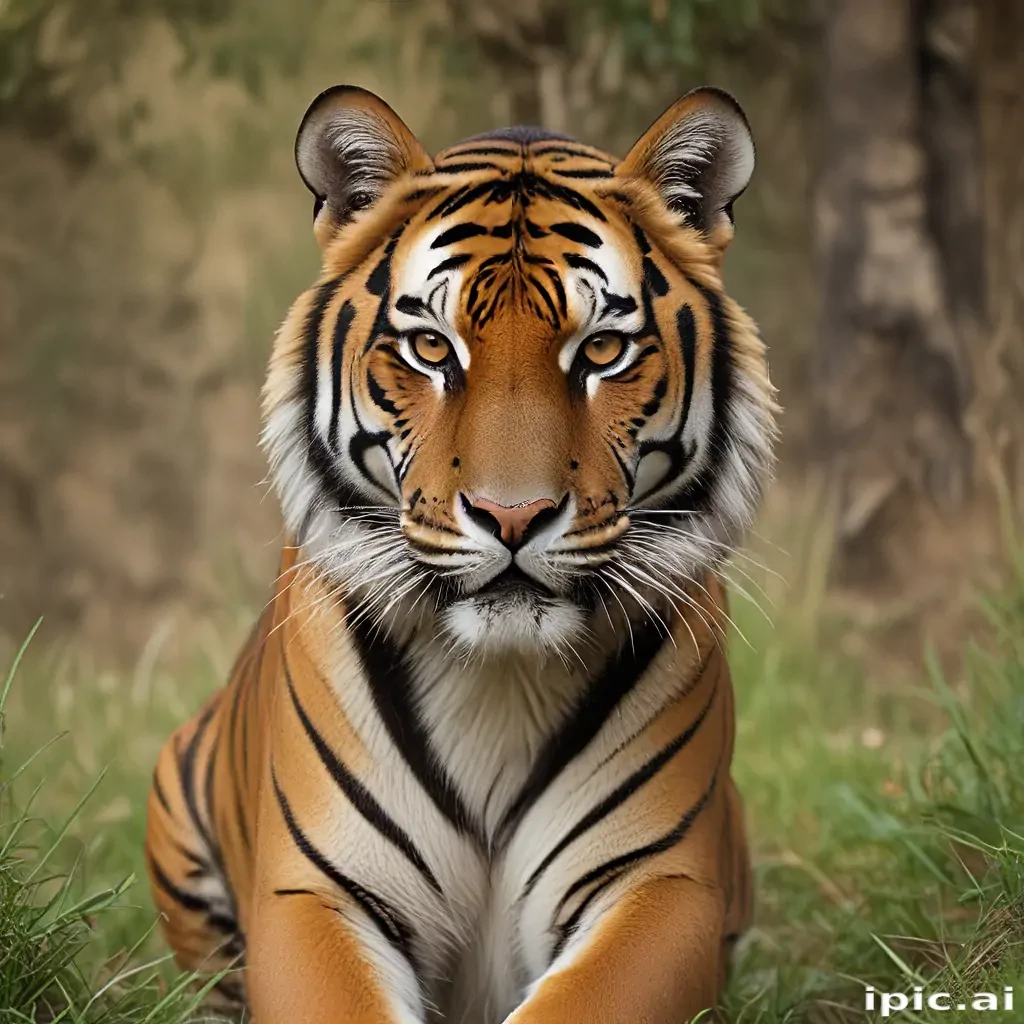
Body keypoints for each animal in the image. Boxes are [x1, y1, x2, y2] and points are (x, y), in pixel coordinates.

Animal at [144, 84, 777, 1024]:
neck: (500, 681)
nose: (513, 517)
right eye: (432, 347)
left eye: (602, 349)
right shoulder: (313, 892)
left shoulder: (662, 885)